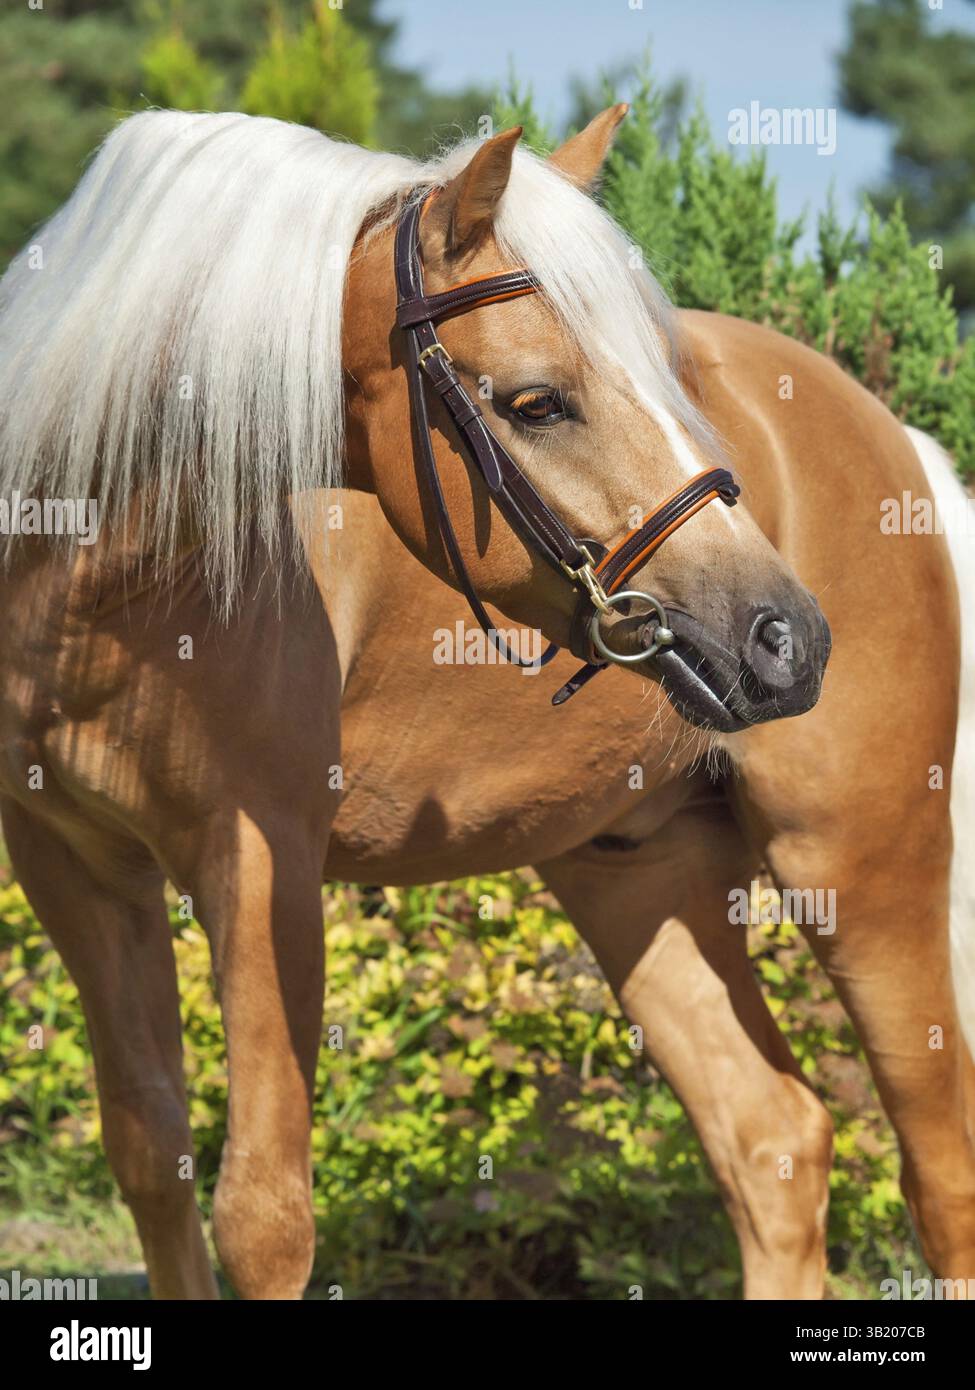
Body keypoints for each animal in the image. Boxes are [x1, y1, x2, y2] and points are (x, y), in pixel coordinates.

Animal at [0, 104, 972, 1300]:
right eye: (533, 401)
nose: (786, 638)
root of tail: (889, 434)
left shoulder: (264, 861)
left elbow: (264, 1219)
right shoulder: (72, 864)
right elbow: (152, 1163)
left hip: (859, 866)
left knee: (939, 1177)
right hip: (641, 870)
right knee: (774, 1140)